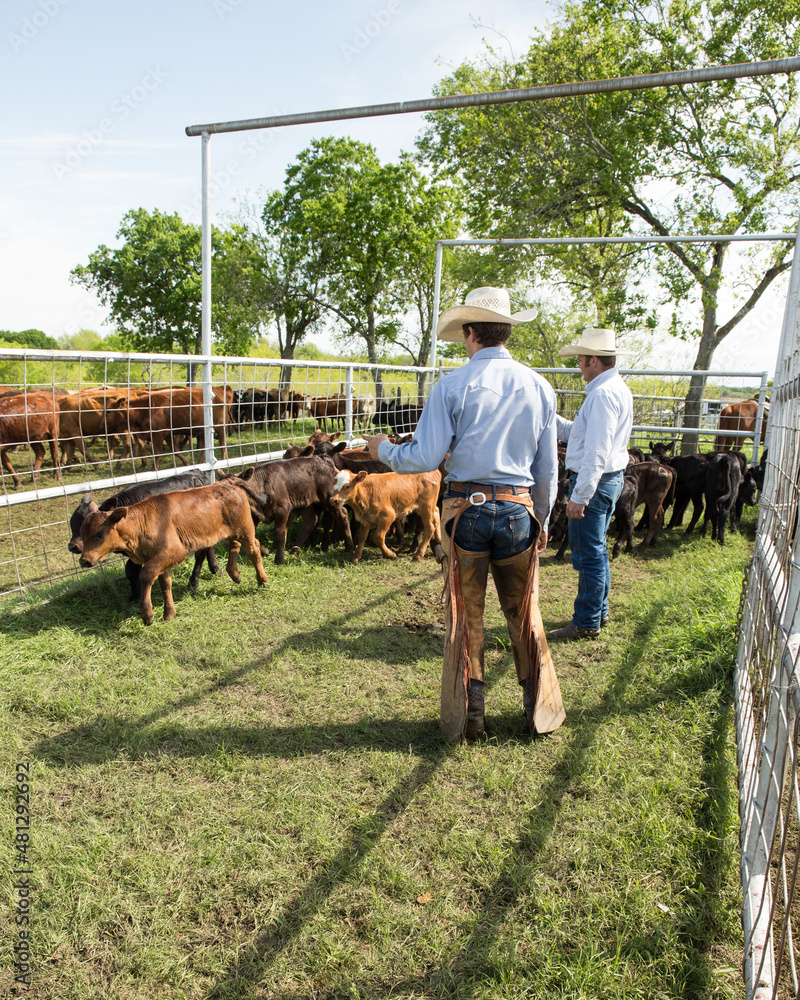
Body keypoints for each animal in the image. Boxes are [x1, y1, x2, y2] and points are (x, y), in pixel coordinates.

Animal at [67, 471, 219, 599]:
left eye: (96, 531)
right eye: (72, 524)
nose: (72, 546)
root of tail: (196, 474)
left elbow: (133, 569)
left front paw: (137, 596)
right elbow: (131, 570)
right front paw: (135, 595)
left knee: (200, 554)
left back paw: (193, 583)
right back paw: (215, 568)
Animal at [78, 478, 269, 625]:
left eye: (99, 534)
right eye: (82, 532)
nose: (83, 560)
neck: (142, 521)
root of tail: (227, 482)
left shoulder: (173, 551)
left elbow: (146, 575)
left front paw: (147, 614)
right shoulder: (162, 558)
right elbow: (165, 583)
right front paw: (169, 613)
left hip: (245, 528)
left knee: (253, 551)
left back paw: (262, 580)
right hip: (235, 531)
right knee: (238, 544)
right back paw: (235, 574)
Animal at [225, 454, 355, 565]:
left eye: (236, 486)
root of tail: (322, 459)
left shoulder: (282, 511)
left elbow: (279, 535)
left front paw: (279, 560)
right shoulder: (255, 515)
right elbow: (251, 536)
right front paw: (265, 551)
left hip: (329, 499)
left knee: (342, 515)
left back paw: (349, 547)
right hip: (306, 502)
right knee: (310, 521)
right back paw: (294, 551)